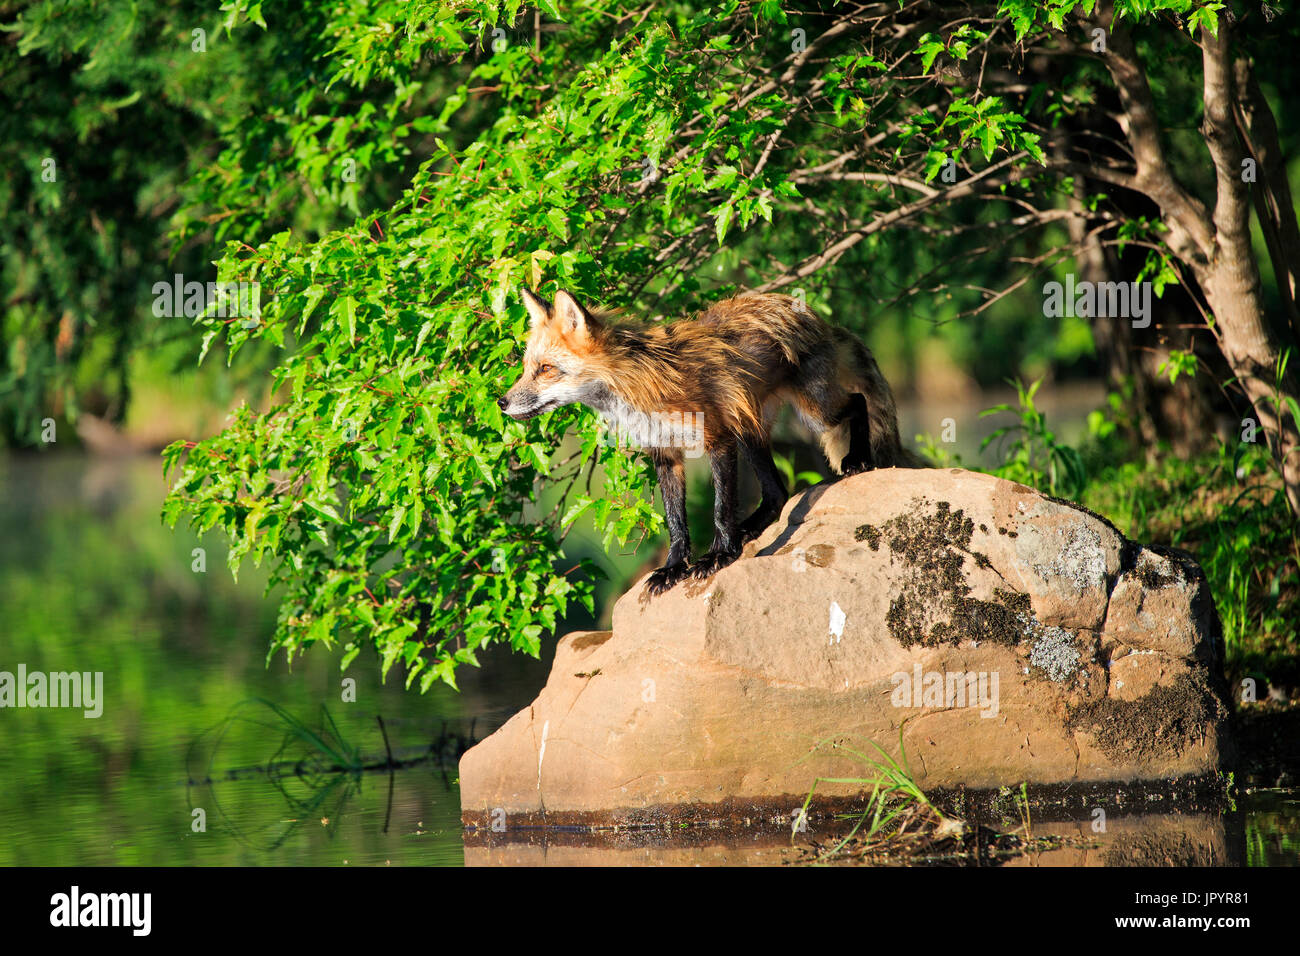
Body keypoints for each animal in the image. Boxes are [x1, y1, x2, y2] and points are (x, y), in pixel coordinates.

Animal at [499, 288, 912, 596]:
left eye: (546, 369)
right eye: (526, 368)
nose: (502, 402)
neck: (639, 386)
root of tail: (812, 314)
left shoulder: (718, 438)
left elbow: (719, 509)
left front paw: (719, 556)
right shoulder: (666, 454)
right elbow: (675, 522)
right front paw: (673, 569)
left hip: (814, 411)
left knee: (856, 402)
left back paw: (858, 461)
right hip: (751, 427)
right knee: (776, 493)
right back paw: (753, 527)